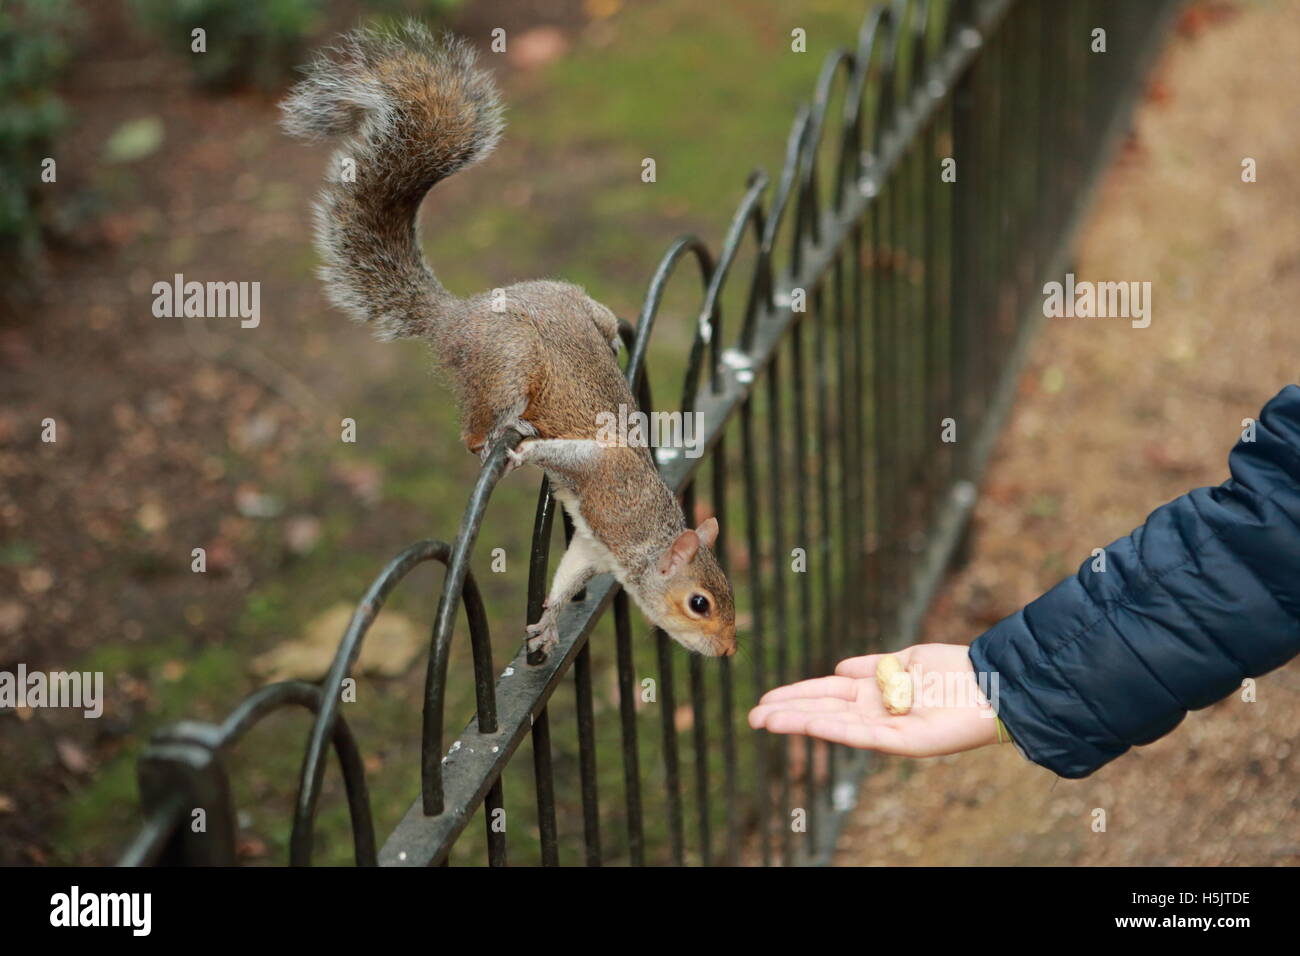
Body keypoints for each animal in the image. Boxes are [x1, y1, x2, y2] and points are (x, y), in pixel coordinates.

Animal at [280, 22, 736, 659]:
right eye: (700, 603)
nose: (728, 650)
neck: (642, 532)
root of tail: (457, 317)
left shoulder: (592, 546)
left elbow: (568, 575)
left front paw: (548, 622)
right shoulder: (602, 478)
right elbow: (564, 456)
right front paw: (523, 454)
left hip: (580, 308)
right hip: (506, 361)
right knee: (475, 428)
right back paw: (497, 433)